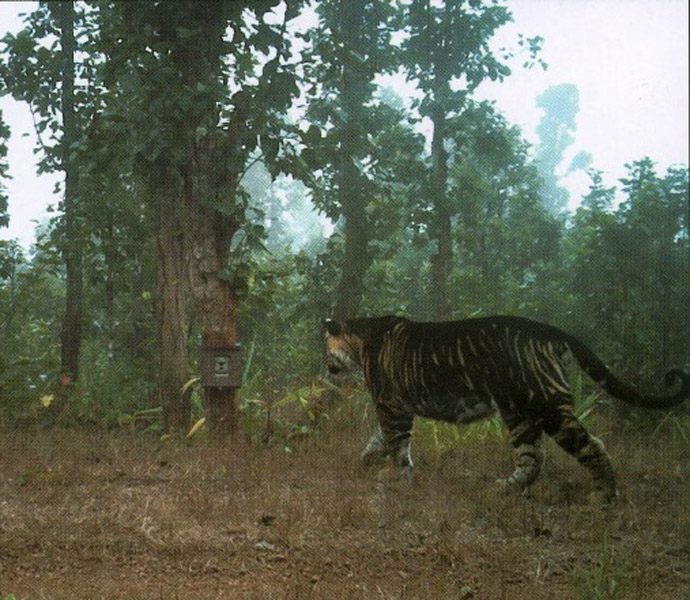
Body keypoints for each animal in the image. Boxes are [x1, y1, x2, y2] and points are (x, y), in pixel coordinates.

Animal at [323, 315, 689, 500]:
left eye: (325, 347)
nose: (325, 366)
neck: (359, 339)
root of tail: (550, 330)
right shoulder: (397, 406)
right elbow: (379, 438)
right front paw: (368, 461)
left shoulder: (391, 405)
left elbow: (396, 443)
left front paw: (394, 475)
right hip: (520, 413)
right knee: (532, 457)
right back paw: (504, 488)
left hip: (547, 405)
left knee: (591, 445)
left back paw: (604, 496)